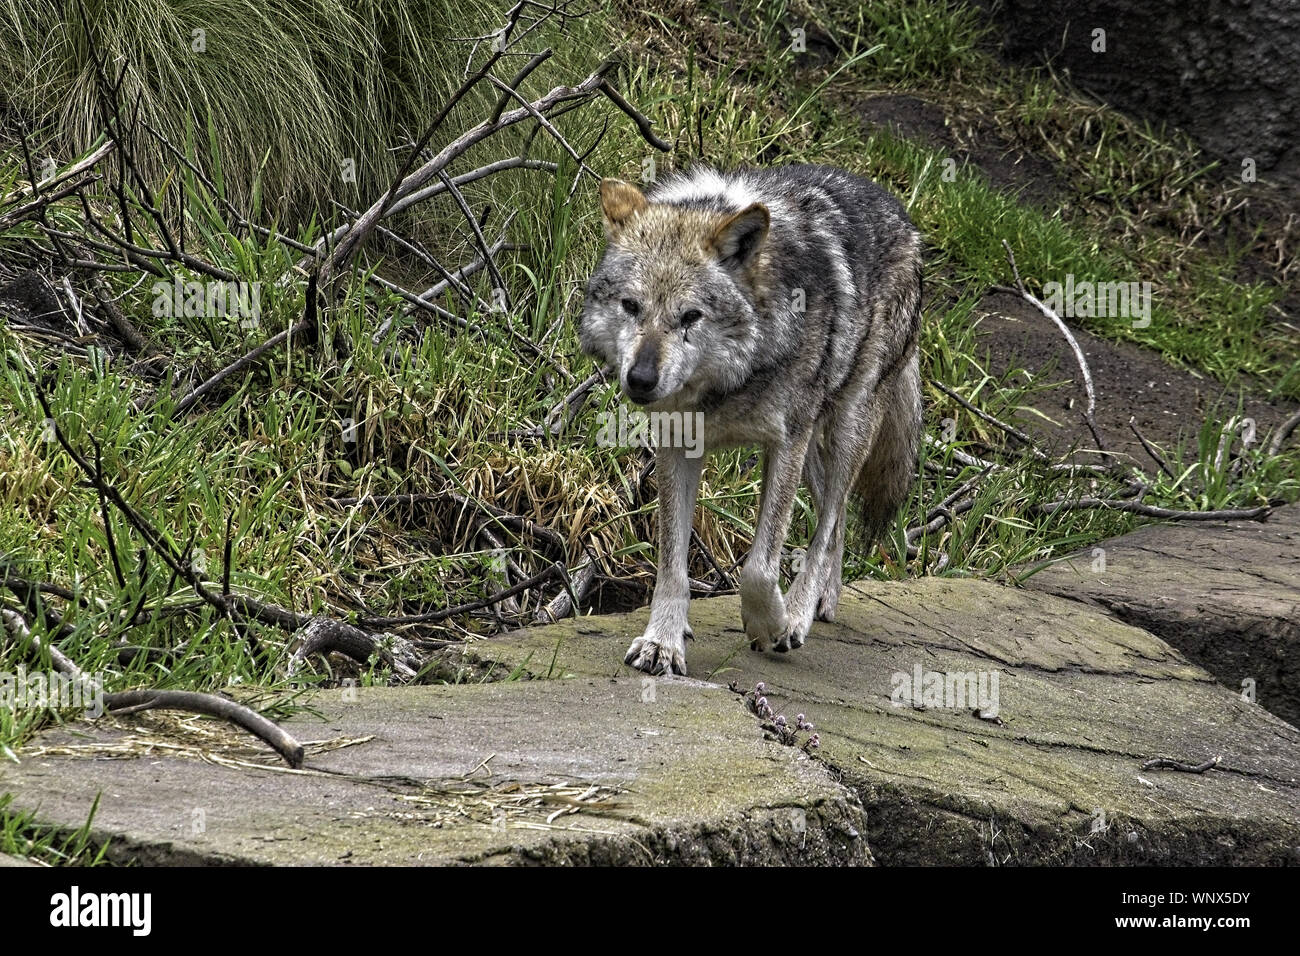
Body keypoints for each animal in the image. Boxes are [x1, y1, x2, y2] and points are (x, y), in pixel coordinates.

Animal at [580, 164, 922, 676]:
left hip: (846, 427)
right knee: (836, 516)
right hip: (814, 448)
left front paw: (770, 625)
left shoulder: (785, 442)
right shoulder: (678, 446)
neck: (726, 384)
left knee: (828, 523)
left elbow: (760, 566)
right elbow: (672, 566)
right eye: (631, 306)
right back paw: (825, 600)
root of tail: (902, 216)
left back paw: (799, 614)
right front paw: (663, 642)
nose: (640, 379)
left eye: (691, 316)